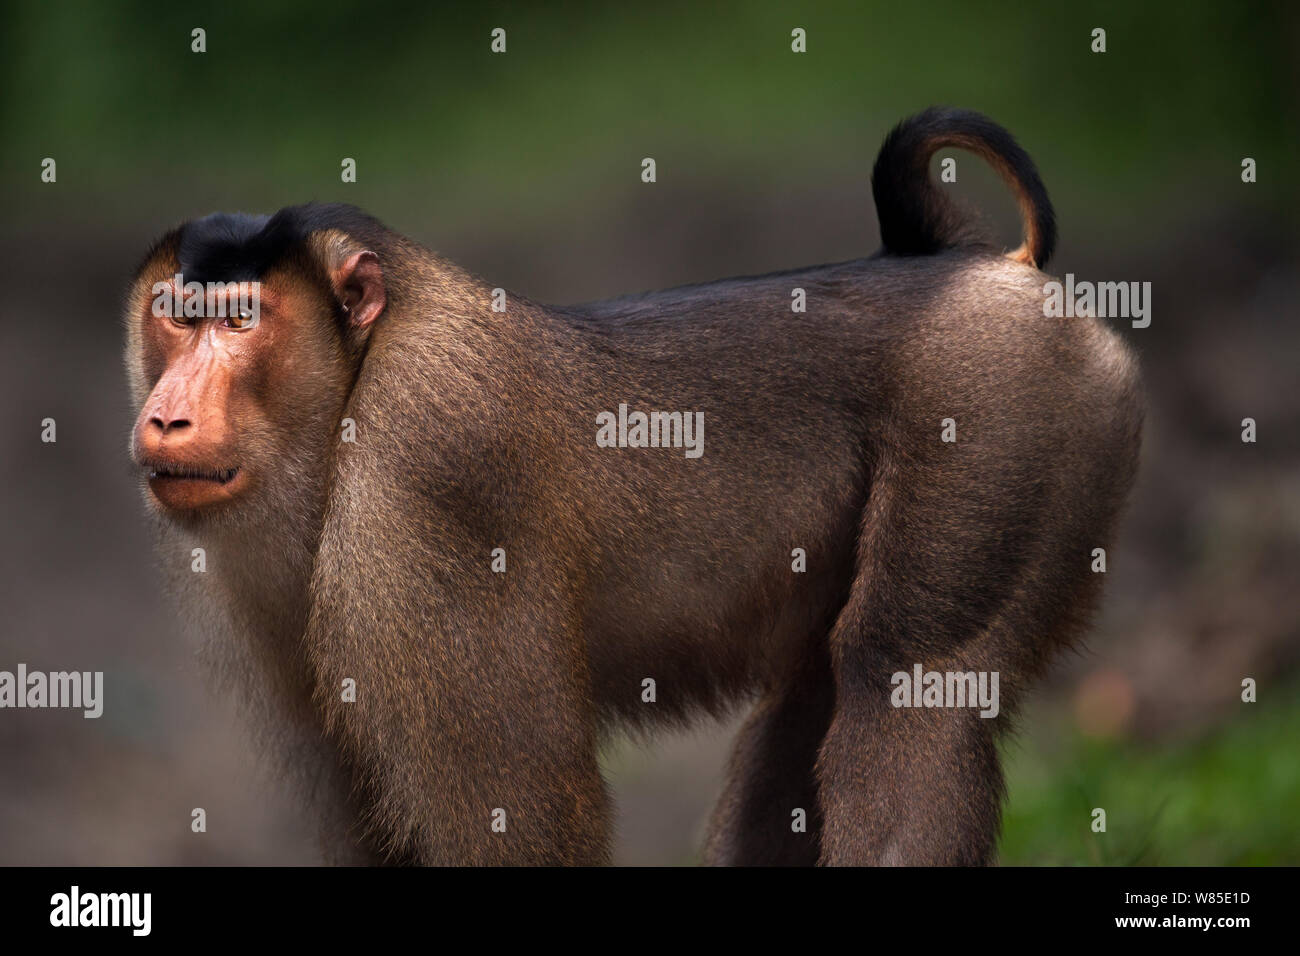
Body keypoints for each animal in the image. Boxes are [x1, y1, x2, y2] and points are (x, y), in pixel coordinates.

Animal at [125, 107, 1142, 866]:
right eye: (176, 317)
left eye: (241, 322)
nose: (167, 416)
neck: (348, 390)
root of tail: (964, 269)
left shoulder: (435, 463)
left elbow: (517, 820)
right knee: (812, 699)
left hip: (999, 409)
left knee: (907, 681)